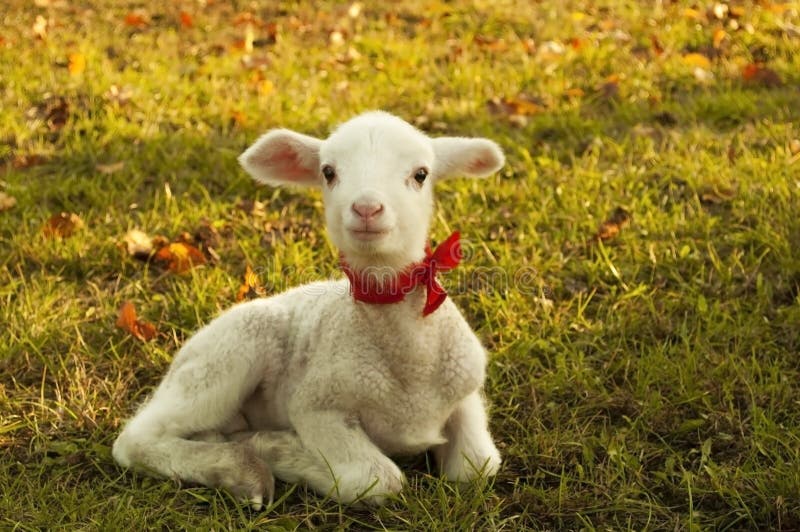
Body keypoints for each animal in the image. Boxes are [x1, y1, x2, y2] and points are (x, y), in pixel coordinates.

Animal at [112, 111, 505, 509]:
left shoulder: (467, 390)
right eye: (328, 172)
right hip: (226, 355)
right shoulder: (316, 406)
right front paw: (276, 447)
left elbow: (478, 465)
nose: (366, 208)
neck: (412, 365)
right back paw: (242, 470)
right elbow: (376, 479)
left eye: (421, 174)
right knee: (134, 440)